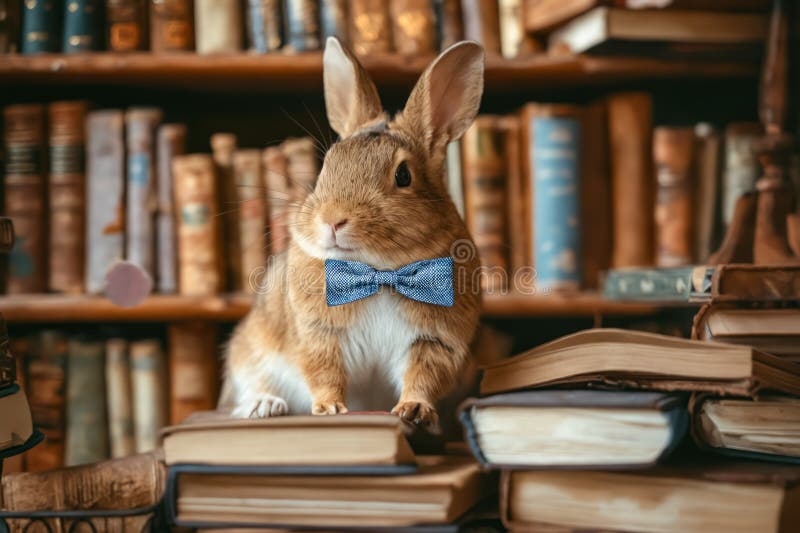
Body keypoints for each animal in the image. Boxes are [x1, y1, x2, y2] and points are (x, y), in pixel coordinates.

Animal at [220, 36, 484, 427]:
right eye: (327, 166)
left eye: (403, 176)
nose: (332, 220)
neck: (379, 273)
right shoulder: (319, 335)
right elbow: (324, 372)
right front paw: (330, 409)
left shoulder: (434, 341)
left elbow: (422, 376)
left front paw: (414, 410)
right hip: (251, 353)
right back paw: (265, 406)